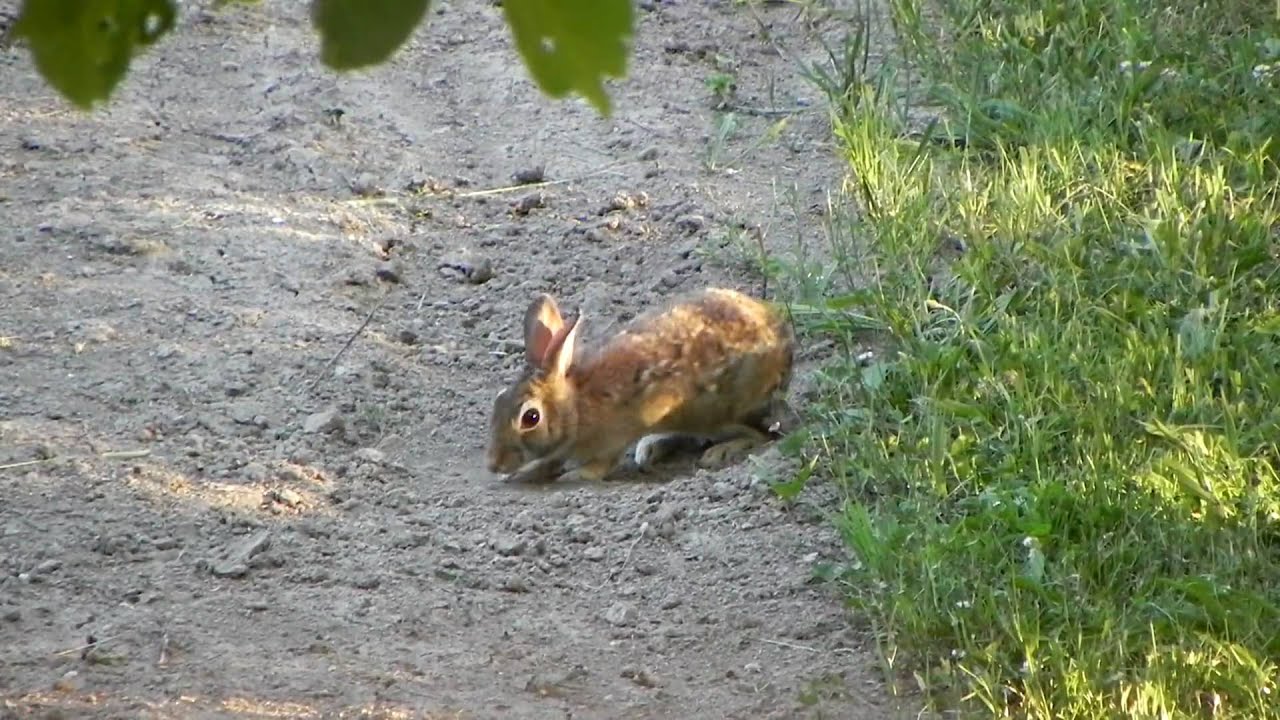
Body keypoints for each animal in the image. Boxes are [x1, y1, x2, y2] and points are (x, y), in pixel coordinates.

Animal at [487, 286, 795, 484]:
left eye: (531, 417)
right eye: (498, 400)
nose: (493, 464)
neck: (576, 407)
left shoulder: (617, 435)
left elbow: (601, 465)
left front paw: (575, 475)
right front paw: (524, 473)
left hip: (717, 415)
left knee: (760, 436)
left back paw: (718, 452)